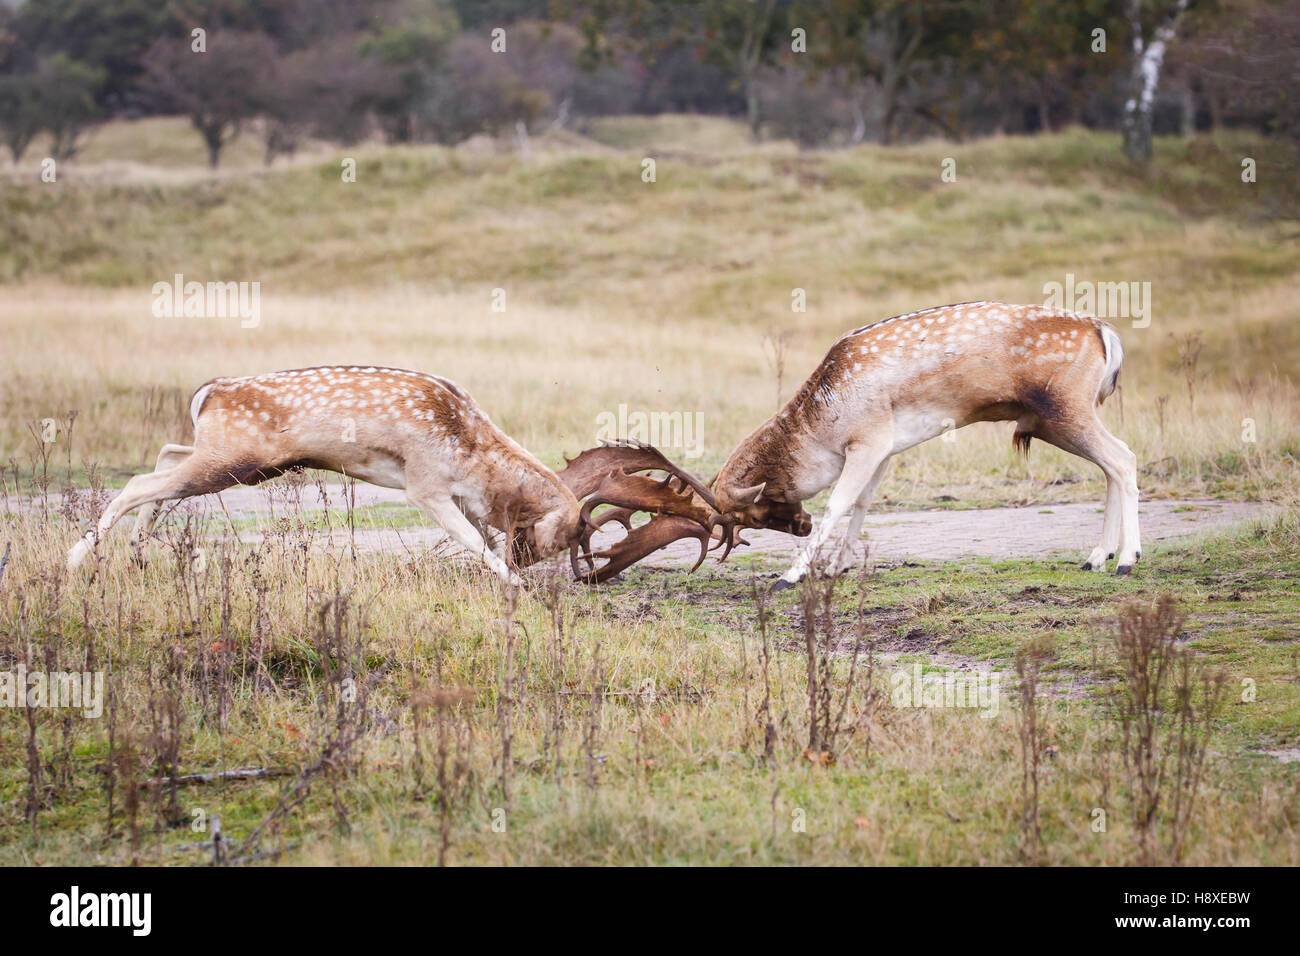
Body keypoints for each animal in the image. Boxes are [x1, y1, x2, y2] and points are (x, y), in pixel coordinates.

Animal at [65, 365, 738, 585]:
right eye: (574, 535)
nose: (525, 561)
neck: (469, 446)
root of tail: (207, 392)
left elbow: (477, 533)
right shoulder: (425, 485)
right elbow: (470, 540)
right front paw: (511, 585)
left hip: (232, 460)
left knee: (163, 457)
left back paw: (137, 553)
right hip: (234, 459)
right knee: (140, 482)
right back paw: (78, 558)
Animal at [705, 301, 1140, 590]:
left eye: (749, 515)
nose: (801, 525)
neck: (821, 431)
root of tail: (1105, 332)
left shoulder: (868, 438)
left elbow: (838, 503)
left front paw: (789, 576)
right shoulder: (885, 446)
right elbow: (864, 502)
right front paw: (836, 567)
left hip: (1065, 408)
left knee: (1123, 458)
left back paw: (1126, 560)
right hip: (1054, 421)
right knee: (1112, 464)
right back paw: (1096, 558)